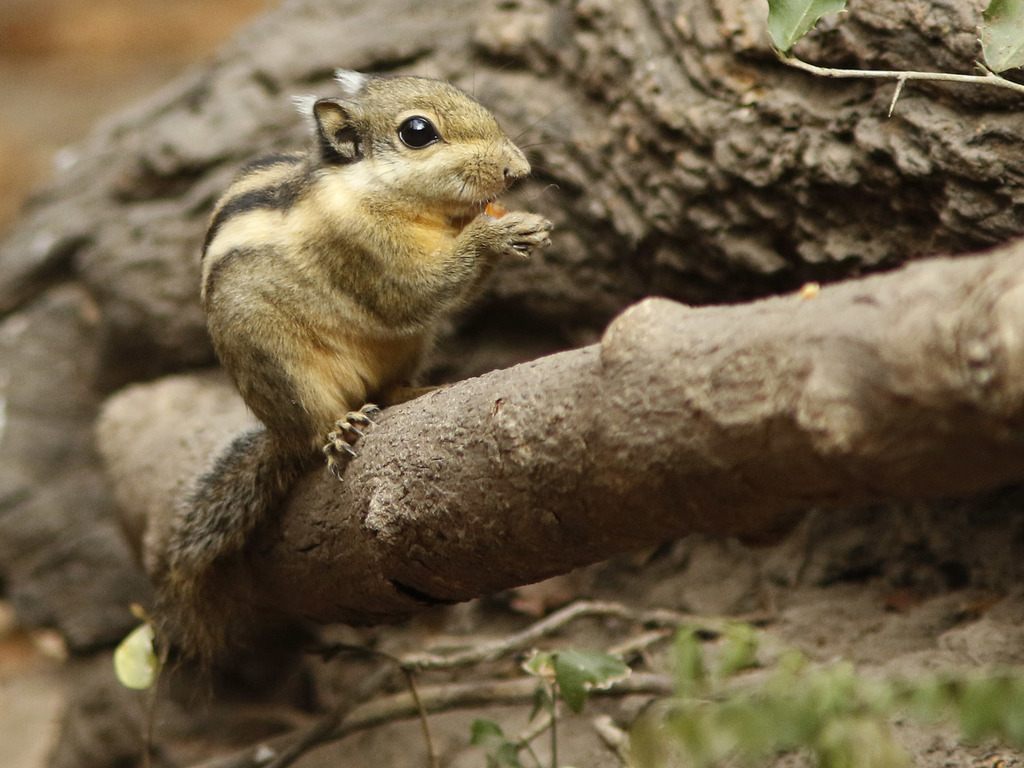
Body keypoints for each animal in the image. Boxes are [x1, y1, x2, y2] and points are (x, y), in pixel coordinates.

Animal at [158, 70, 552, 660]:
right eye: (417, 132)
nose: (518, 170)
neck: (379, 193)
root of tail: (278, 434)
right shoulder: (364, 253)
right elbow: (415, 292)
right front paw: (497, 234)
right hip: (284, 367)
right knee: (317, 422)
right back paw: (338, 429)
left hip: (410, 347)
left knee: (386, 390)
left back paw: (411, 392)